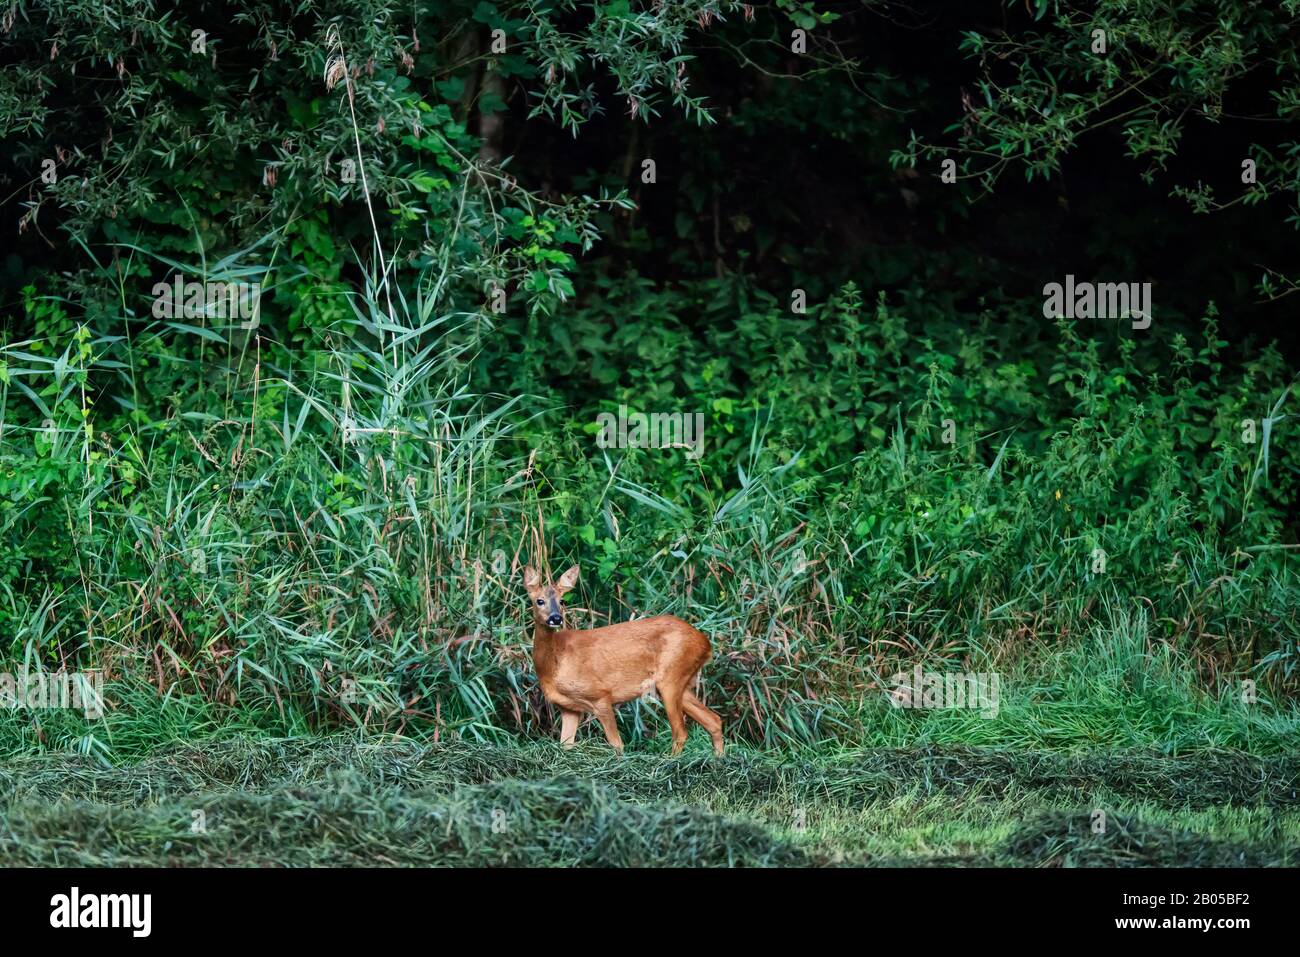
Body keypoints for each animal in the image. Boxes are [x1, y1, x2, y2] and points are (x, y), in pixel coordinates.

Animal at [523, 564, 725, 756]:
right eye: (539, 601)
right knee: (714, 720)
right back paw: (718, 759)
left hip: (672, 676)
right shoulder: (569, 708)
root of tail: (706, 643)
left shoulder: (600, 695)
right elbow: (566, 745)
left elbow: (617, 744)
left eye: (562, 601)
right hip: (680, 682)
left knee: (681, 732)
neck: (556, 663)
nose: (556, 618)